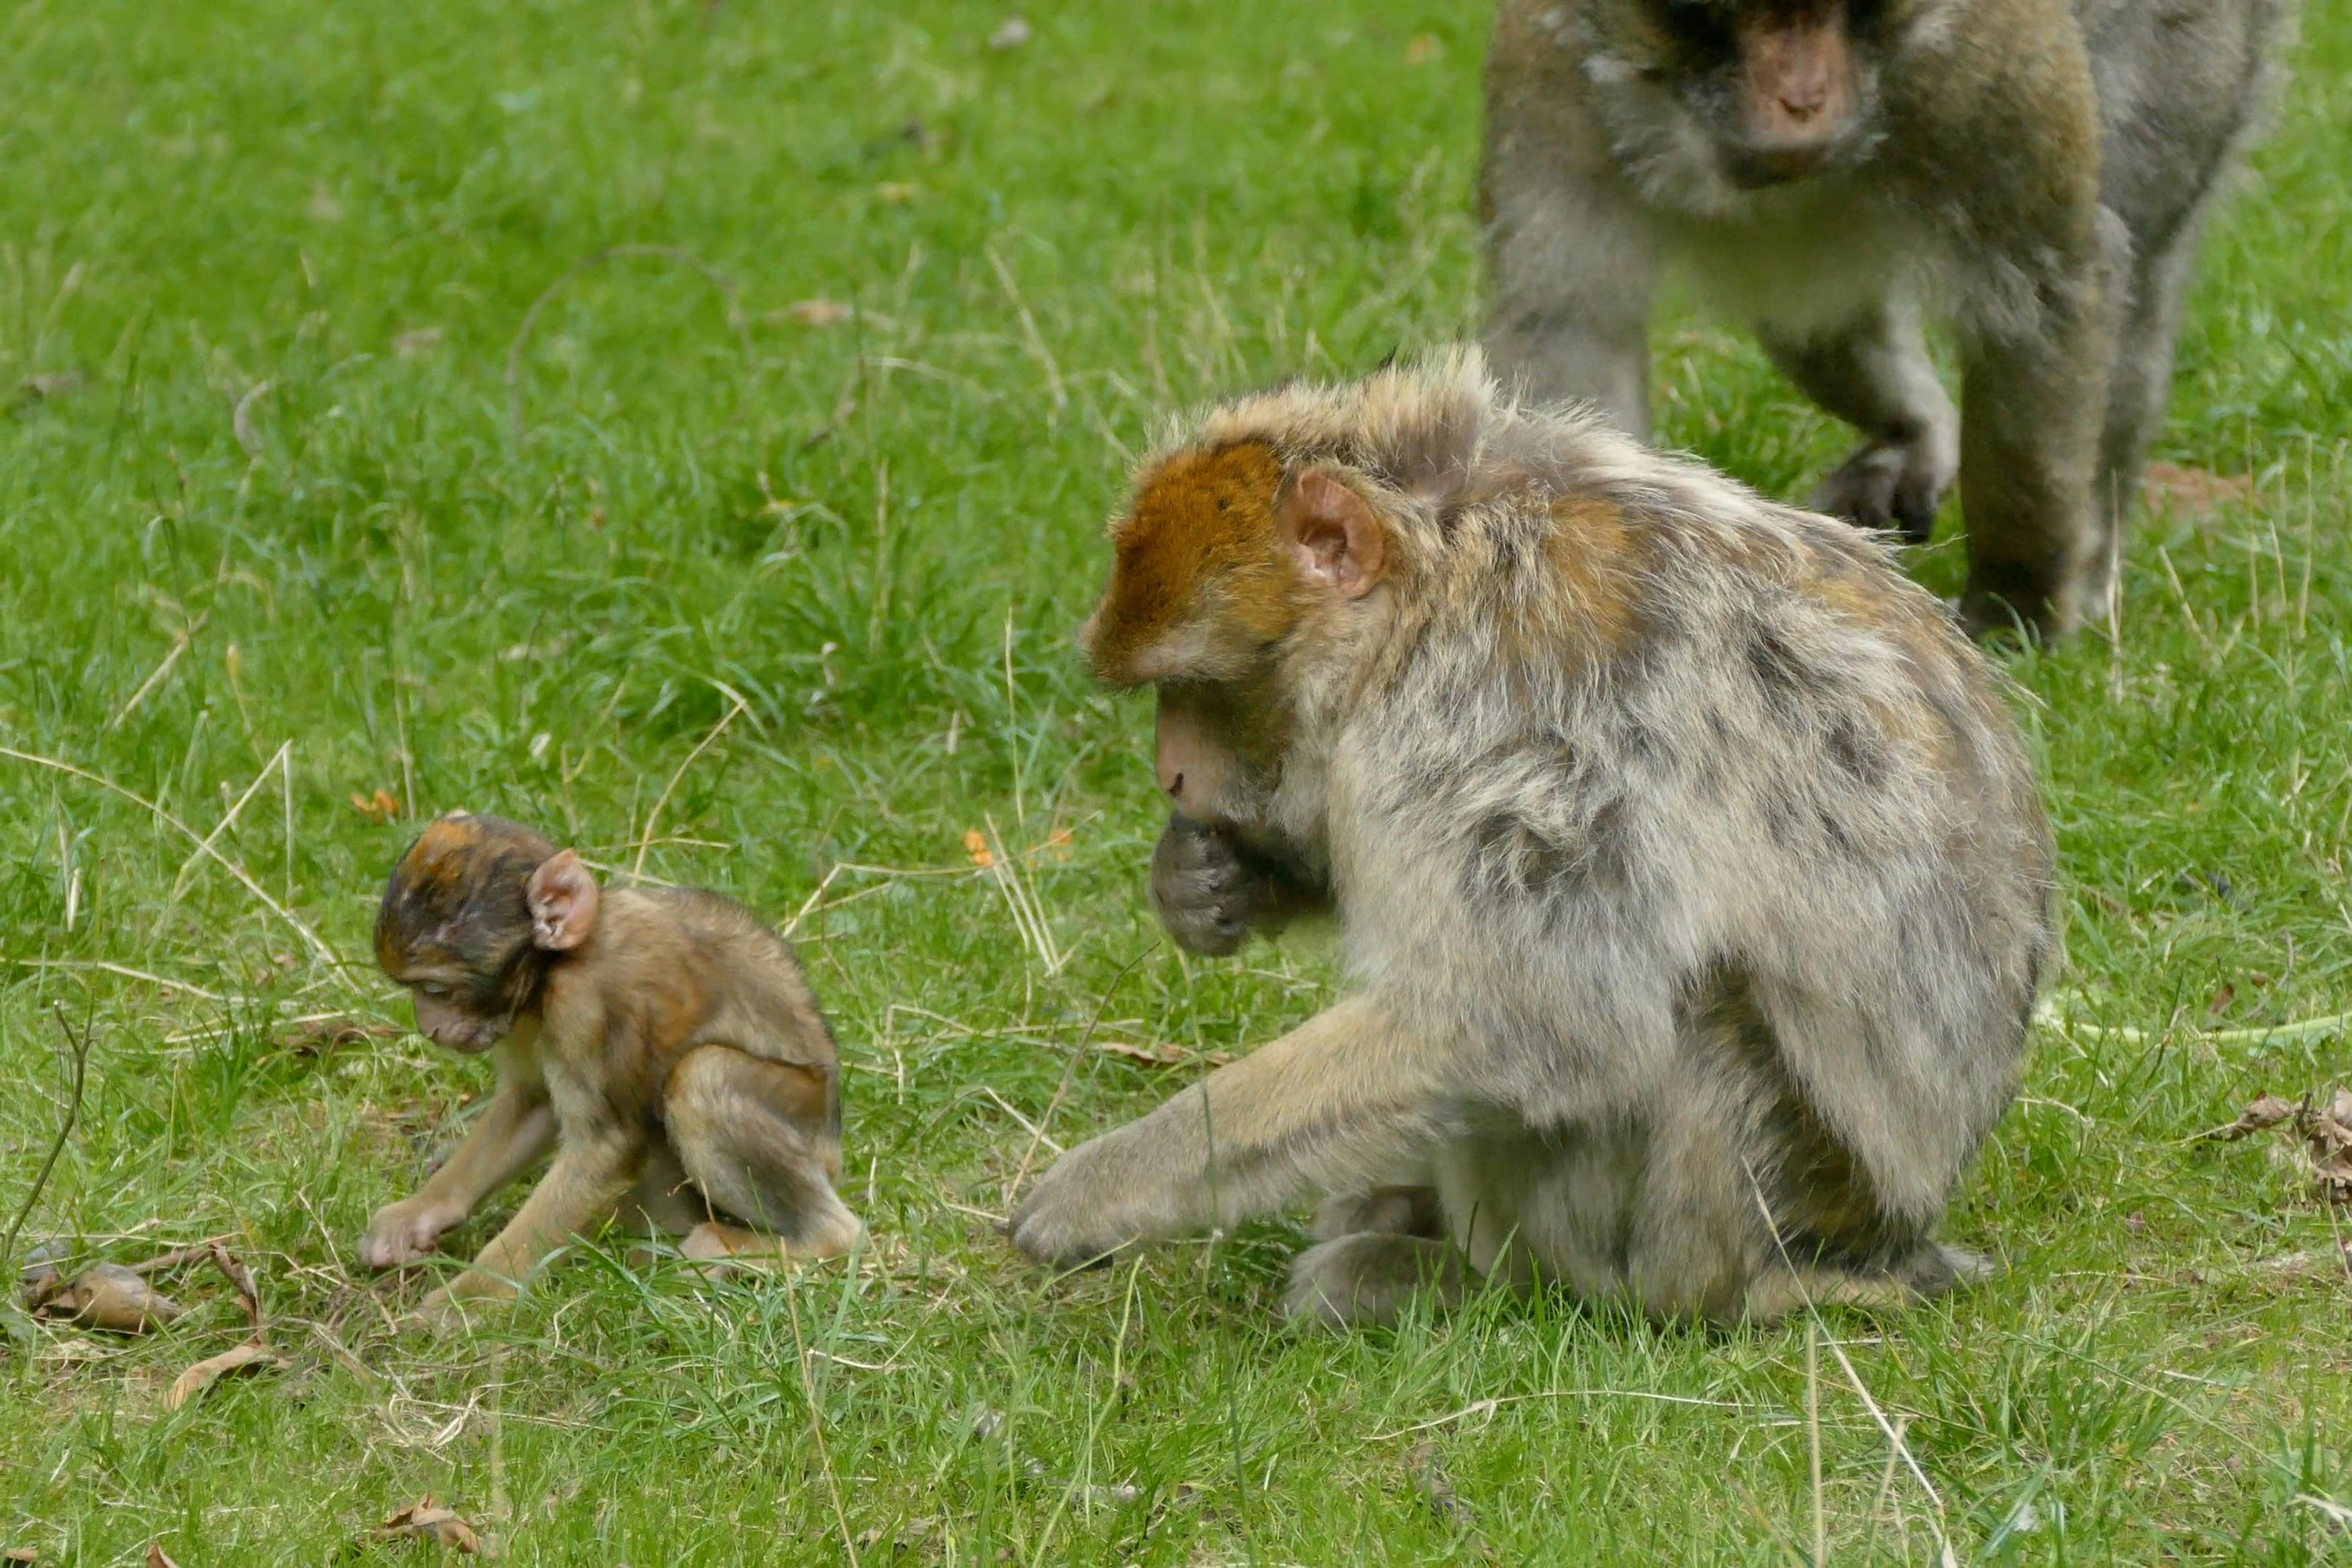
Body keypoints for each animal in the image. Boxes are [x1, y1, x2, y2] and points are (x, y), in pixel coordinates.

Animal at [364, 813, 861, 1321]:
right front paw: (421, 1212)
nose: (429, 1028)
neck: (558, 965)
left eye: (436, 990)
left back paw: (807, 1240)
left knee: (702, 1076)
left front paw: (468, 1301)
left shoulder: (585, 1008)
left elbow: (602, 1150)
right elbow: (534, 1102)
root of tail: (831, 1145)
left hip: (803, 1119)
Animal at [1010, 349, 2054, 1329]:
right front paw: (1199, 880)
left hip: (1739, 1209)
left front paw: (1108, 1182)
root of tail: (1880, 1244)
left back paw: (1483, 1283)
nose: (1172, 775)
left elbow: (1535, 1017)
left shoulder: (1511, 717)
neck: (1439, 563)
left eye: (1201, 687)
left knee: (1666, 1021)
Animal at [1480, 0, 2295, 639]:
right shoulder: (1553, 81)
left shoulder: (1993, 79)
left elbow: (2045, 298)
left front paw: (2018, 604)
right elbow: (1570, 338)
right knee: (1813, 318)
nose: (1804, 97)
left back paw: (2092, 564)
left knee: (2133, 277)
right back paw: (1918, 431)